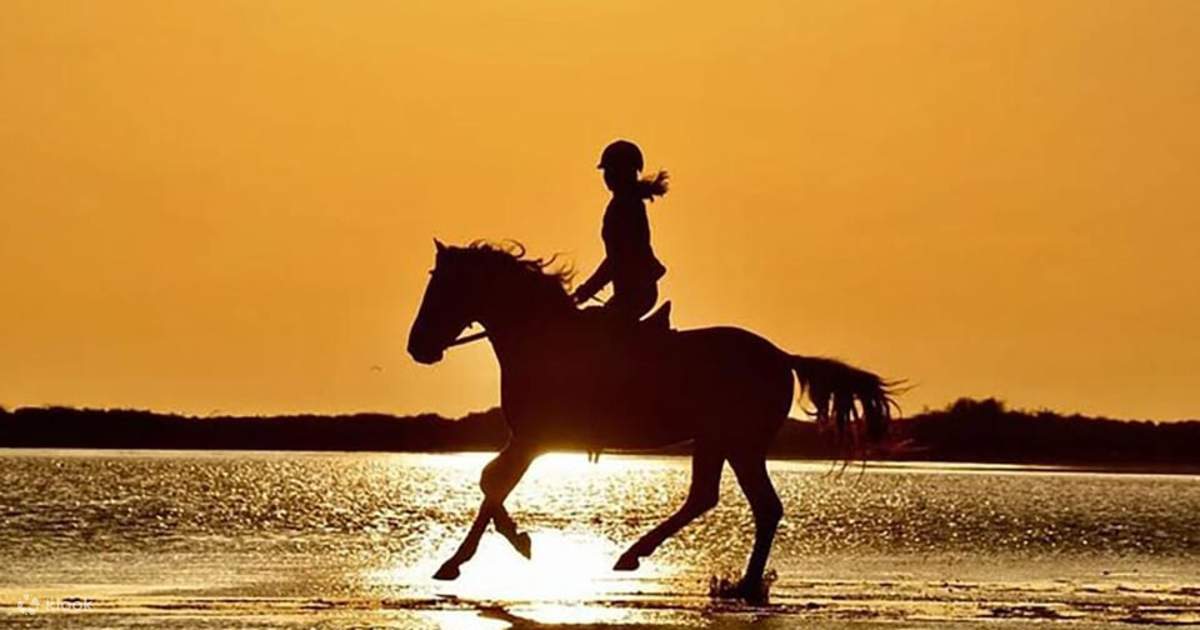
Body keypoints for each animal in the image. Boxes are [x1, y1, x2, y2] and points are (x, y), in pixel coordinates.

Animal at [406, 240, 897, 601]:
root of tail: (781, 357)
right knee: (709, 497)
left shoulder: (534, 439)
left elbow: (493, 483)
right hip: (717, 440)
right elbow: (491, 481)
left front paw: (469, 557)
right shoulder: (527, 439)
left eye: (443, 288)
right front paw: (497, 547)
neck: (541, 338)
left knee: (762, 506)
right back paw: (651, 560)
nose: (417, 347)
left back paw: (738, 584)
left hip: (740, 442)